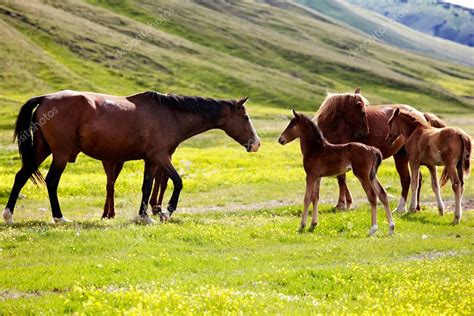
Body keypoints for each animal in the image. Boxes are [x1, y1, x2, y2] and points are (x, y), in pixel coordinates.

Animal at [2, 90, 260, 225]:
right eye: (246, 117)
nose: (256, 143)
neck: (169, 114)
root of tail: (46, 98)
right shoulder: (160, 156)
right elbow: (177, 182)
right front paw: (166, 211)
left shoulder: (151, 160)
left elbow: (147, 187)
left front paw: (145, 216)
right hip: (61, 154)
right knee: (51, 181)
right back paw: (59, 218)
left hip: (42, 150)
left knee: (21, 176)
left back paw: (9, 216)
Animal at [316, 88, 446, 212]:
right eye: (362, 113)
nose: (365, 132)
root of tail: (422, 115)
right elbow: (340, 176)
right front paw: (347, 202)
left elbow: (341, 178)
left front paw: (341, 204)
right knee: (416, 179)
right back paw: (416, 207)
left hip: (404, 157)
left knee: (406, 180)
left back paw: (401, 207)